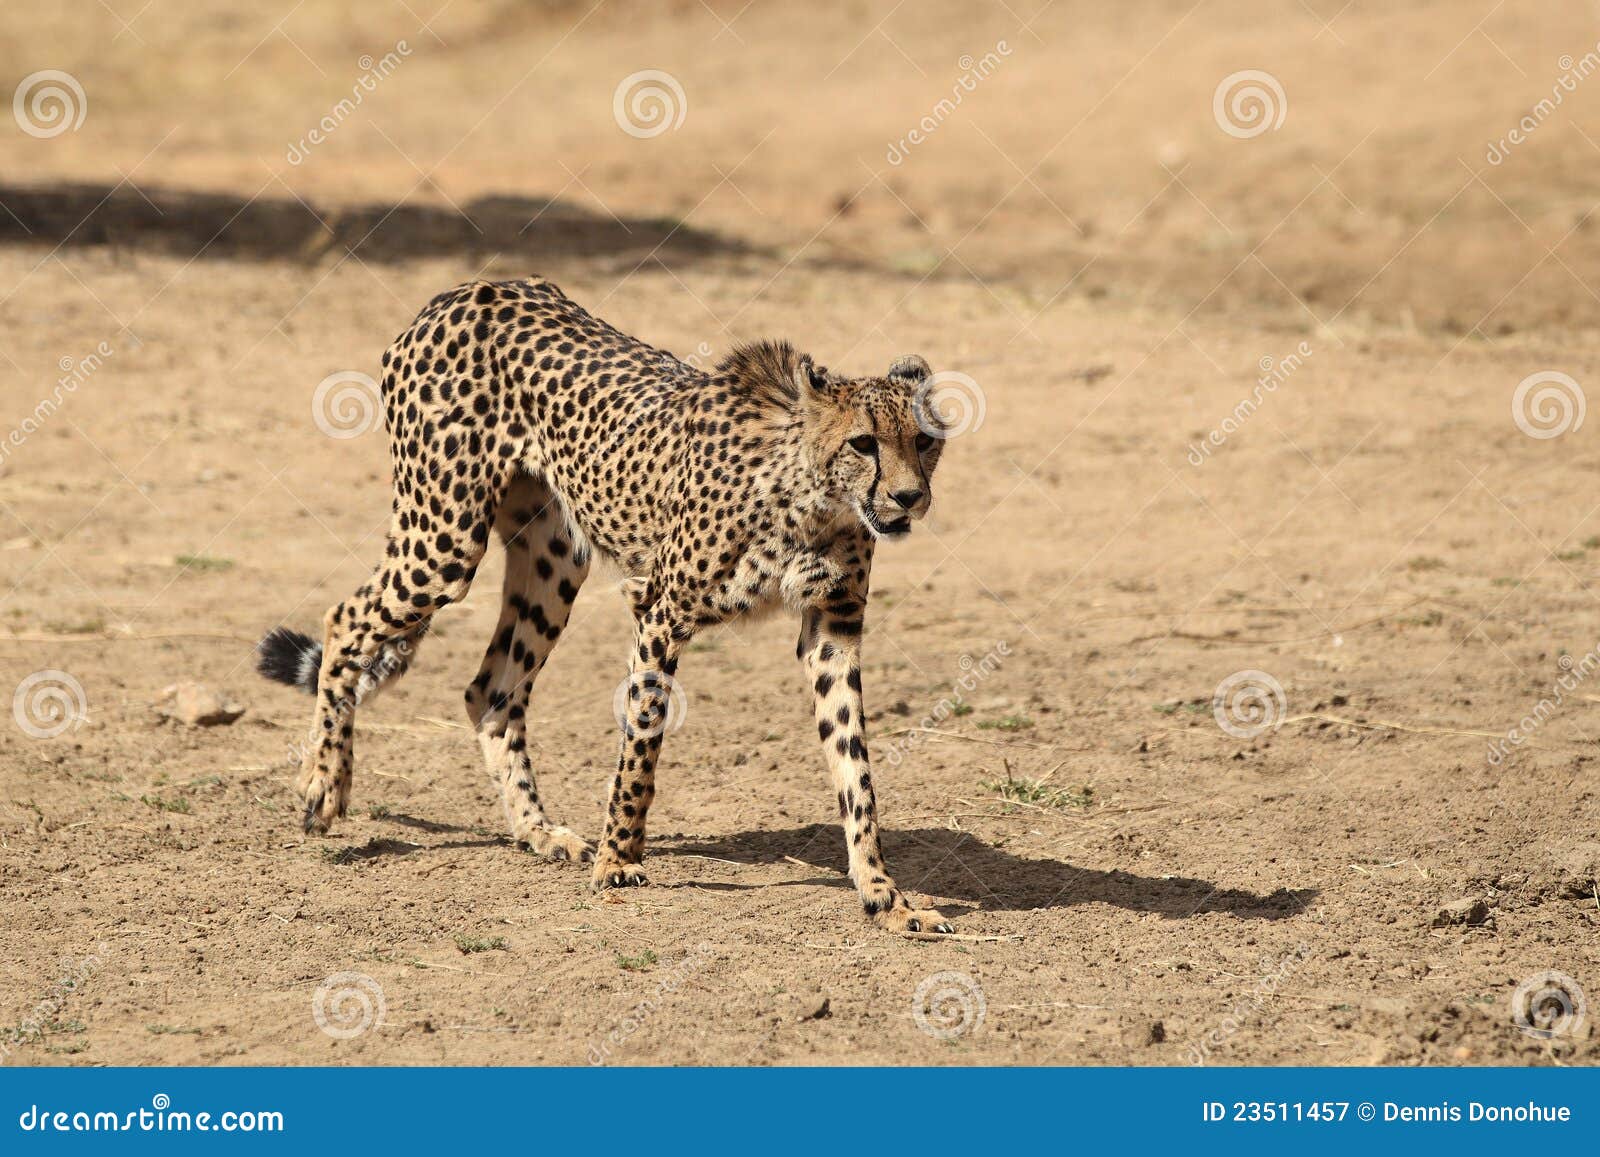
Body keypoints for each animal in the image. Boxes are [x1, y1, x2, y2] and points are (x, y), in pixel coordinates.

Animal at [256, 276, 956, 934]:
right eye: (864, 443)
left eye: (923, 440)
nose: (908, 498)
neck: (812, 497)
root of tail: (471, 290)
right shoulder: (659, 609)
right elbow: (642, 740)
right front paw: (618, 859)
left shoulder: (832, 628)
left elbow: (854, 766)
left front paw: (885, 897)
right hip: (443, 541)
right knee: (345, 620)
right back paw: (323, 784)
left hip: (555, 560)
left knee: (490, 690)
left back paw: (538, 831)